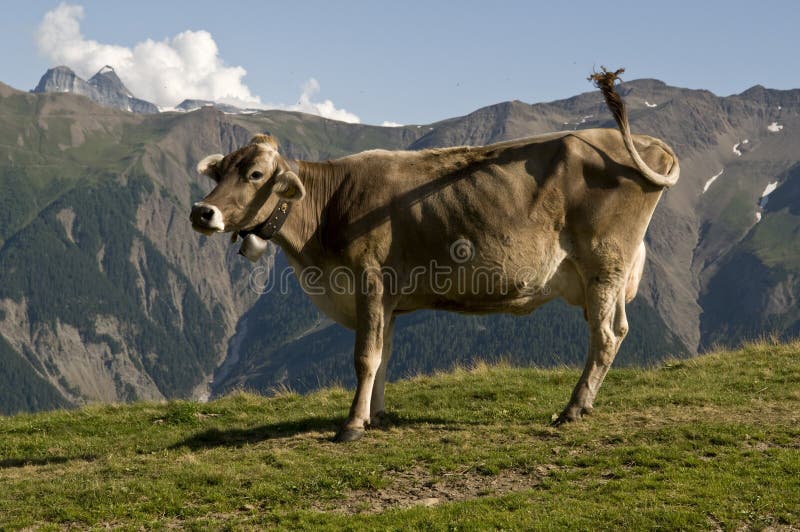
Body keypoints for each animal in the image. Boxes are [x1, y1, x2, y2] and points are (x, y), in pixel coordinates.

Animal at [190, 68, 679, 441]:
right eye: (219, 172)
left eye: (255, 174)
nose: (201, 211)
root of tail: (648, 143)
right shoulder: (386, 298)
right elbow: (384, 355)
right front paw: (375, 415)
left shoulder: (369, 280)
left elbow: (364, 357)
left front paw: (352, 425)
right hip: (613, 271)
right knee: (619, 329)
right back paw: (587, 404)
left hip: (603, 261)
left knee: (605, 337)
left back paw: (573, 409)